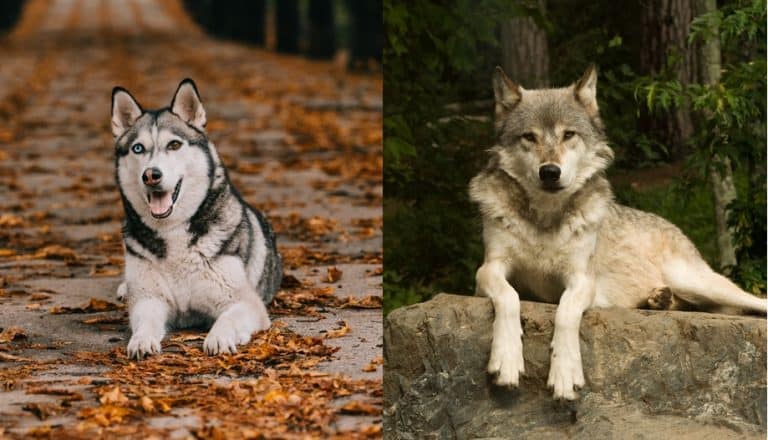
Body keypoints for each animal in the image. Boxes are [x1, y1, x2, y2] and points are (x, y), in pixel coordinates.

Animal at [111, 79, 282, 359]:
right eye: (138, 148)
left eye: (174, 145)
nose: (151, 175)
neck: (173, 231)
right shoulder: (149, 299)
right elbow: (146, 320)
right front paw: (142, 339)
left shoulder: (246, 303)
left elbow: (228, 318)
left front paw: (219, 337)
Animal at [469, 65, 767, 400]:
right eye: (529, 137)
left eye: (568, 134)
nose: (550, 172)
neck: (545, 219)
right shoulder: (489, 269)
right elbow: (509, 296)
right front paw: (507, 359)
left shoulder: (581, 280)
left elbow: (565, 312)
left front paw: (565, 372)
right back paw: (659, 300)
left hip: (696, 281)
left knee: (755, 301)